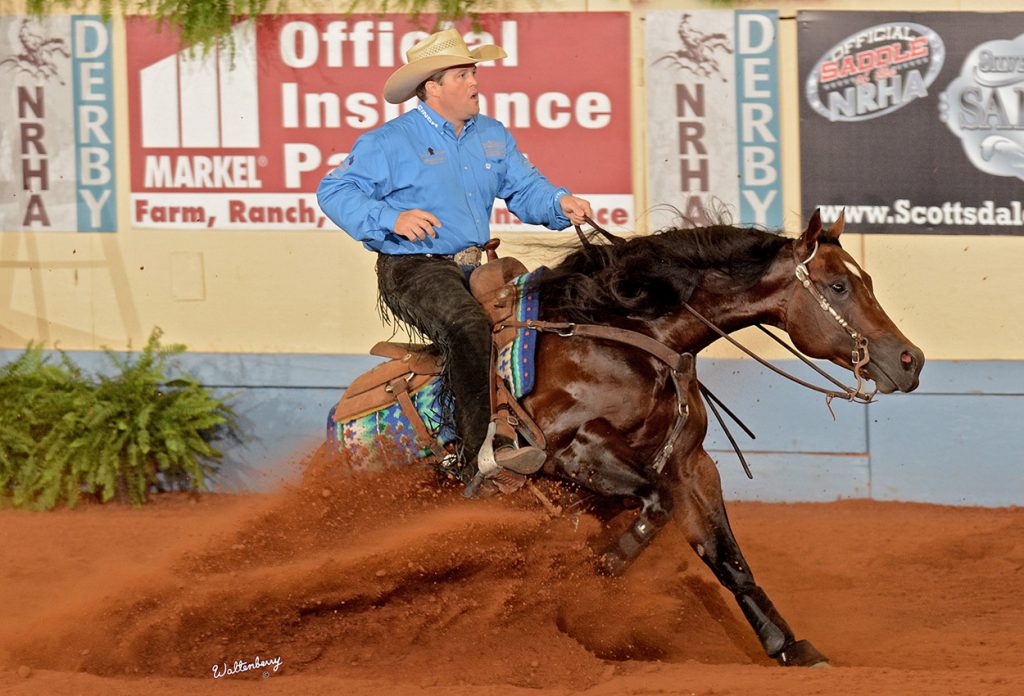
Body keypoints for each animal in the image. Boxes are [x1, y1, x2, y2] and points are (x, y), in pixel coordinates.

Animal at [325, 210, 925, 667]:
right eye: (838, 286)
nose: (909, 360)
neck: (632, 338)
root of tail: (338, 431)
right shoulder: (576, 450)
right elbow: (654, 507)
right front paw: (605, 562)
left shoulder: (690, 464)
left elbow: (727, 557)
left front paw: (787, 645)